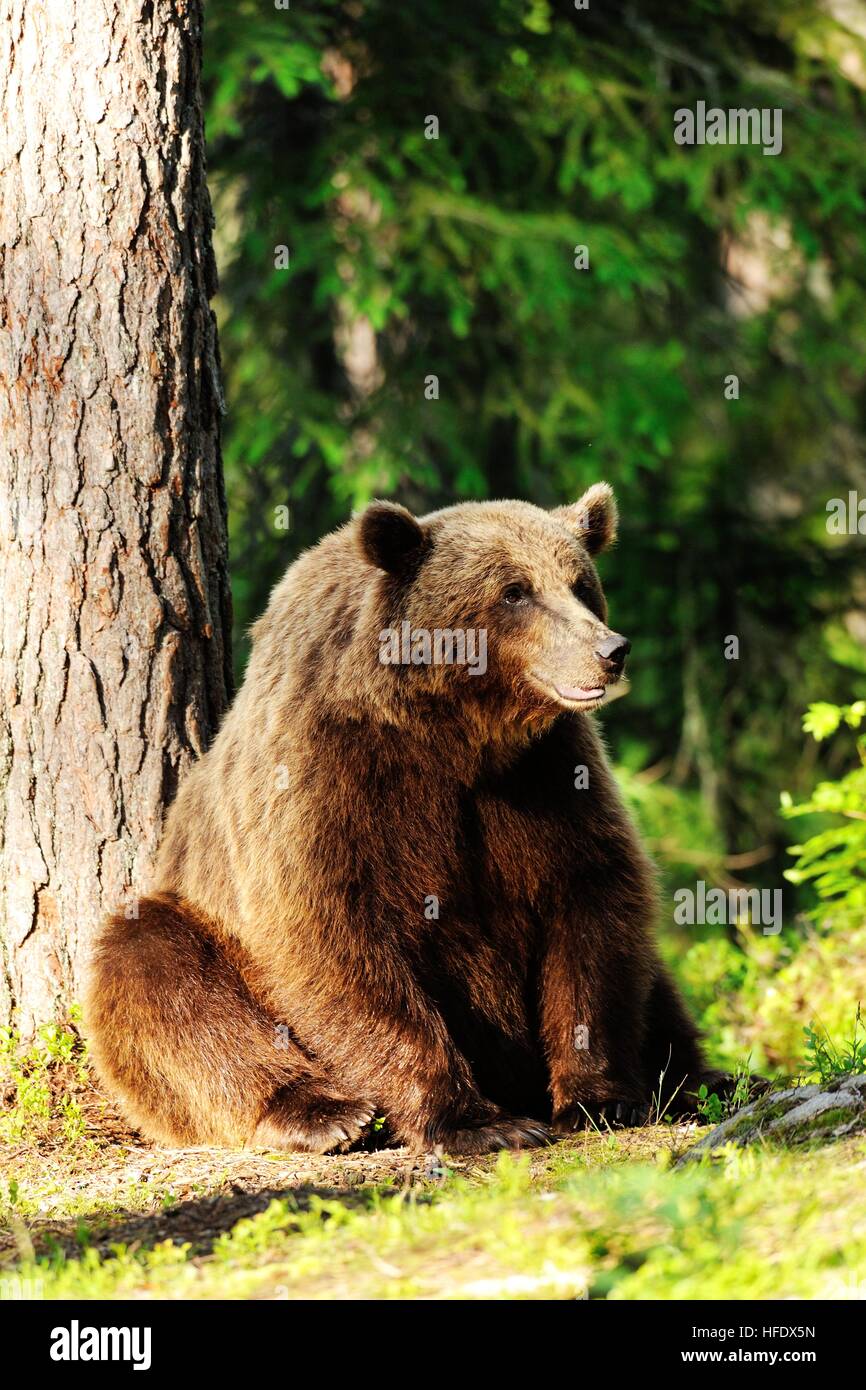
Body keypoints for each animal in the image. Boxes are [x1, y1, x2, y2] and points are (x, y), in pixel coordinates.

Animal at [85, 484, 708, 1154]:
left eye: (581, 583)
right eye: (514, 591)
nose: (609, 650)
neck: (451, 732)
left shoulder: (545, 779)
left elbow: (592, 901)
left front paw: (598, 1098)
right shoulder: (328, 778)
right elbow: (333, 938)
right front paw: (478, 1122)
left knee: (660, 990)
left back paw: (698, 1082)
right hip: (198, 926)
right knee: (156, 971)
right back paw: (323, 1113)